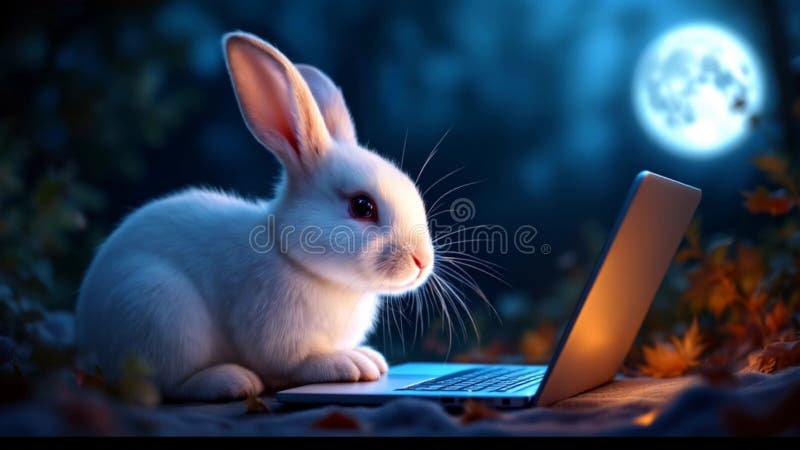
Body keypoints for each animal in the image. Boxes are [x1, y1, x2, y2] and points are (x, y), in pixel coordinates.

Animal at [75, 31, 435, 401]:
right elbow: (297, 366)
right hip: (158, 309)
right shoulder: (275, 339)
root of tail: (88, 341)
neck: (296, 260)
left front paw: (370, 358)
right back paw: (231, 381)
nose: (422, 261)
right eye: (362, 207)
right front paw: (351, 363)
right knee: (165, 385)